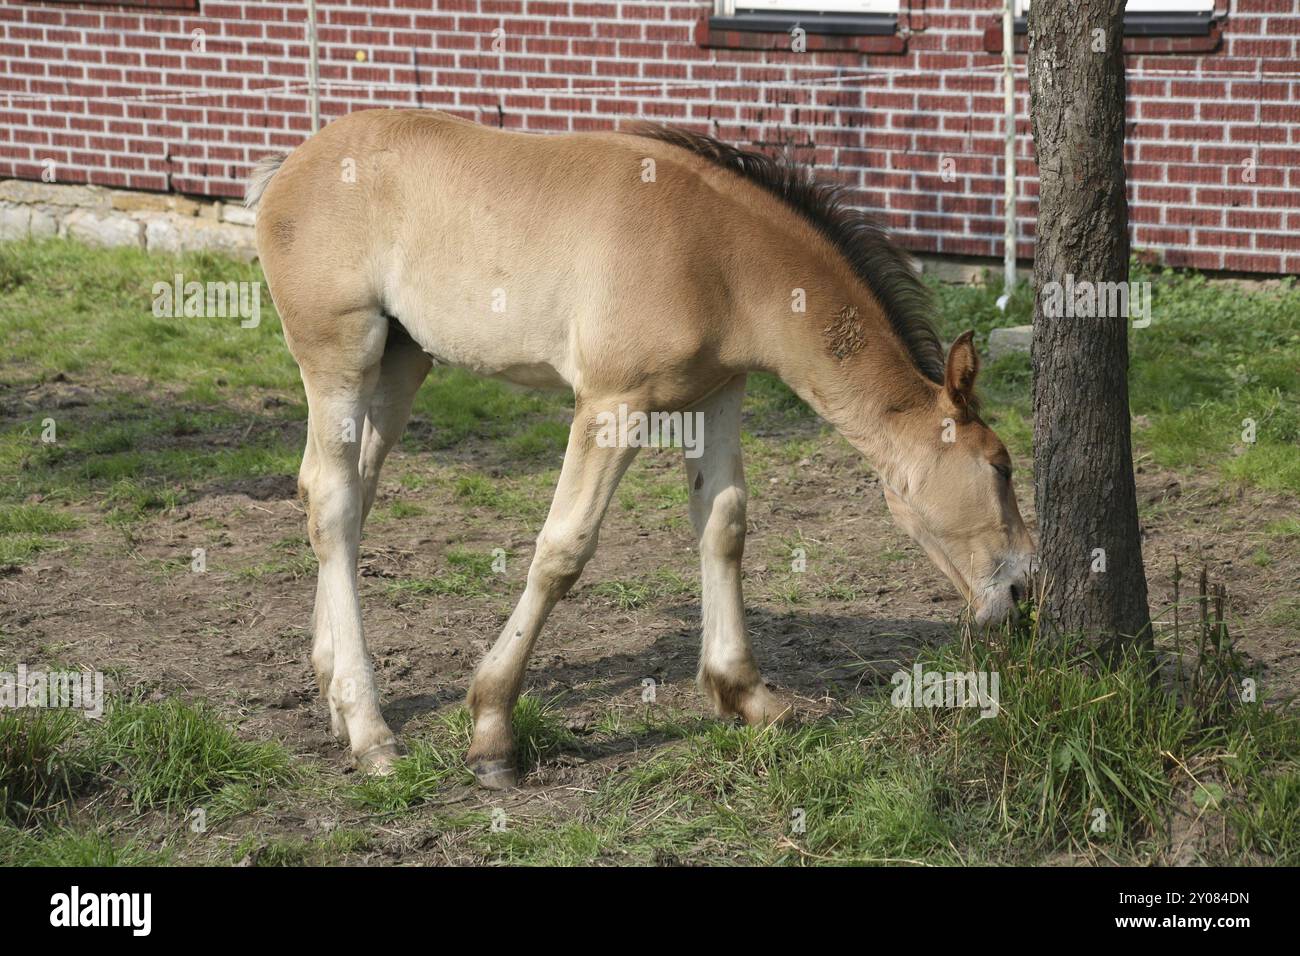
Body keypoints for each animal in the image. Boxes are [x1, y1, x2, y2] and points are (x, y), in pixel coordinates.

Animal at [247, 109, 1035, 789]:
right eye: (1001, 468)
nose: (1024, 590)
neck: (720, 257)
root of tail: (288, 167)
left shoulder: (719, 395)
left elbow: (724, 526)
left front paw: (746, 695)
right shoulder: (610, 405)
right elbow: (564, 548)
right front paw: (493, 728)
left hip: (403, 361)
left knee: (346, 492)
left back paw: (334, 692)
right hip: (340, 357)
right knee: (333, 503)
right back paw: (371, 731)